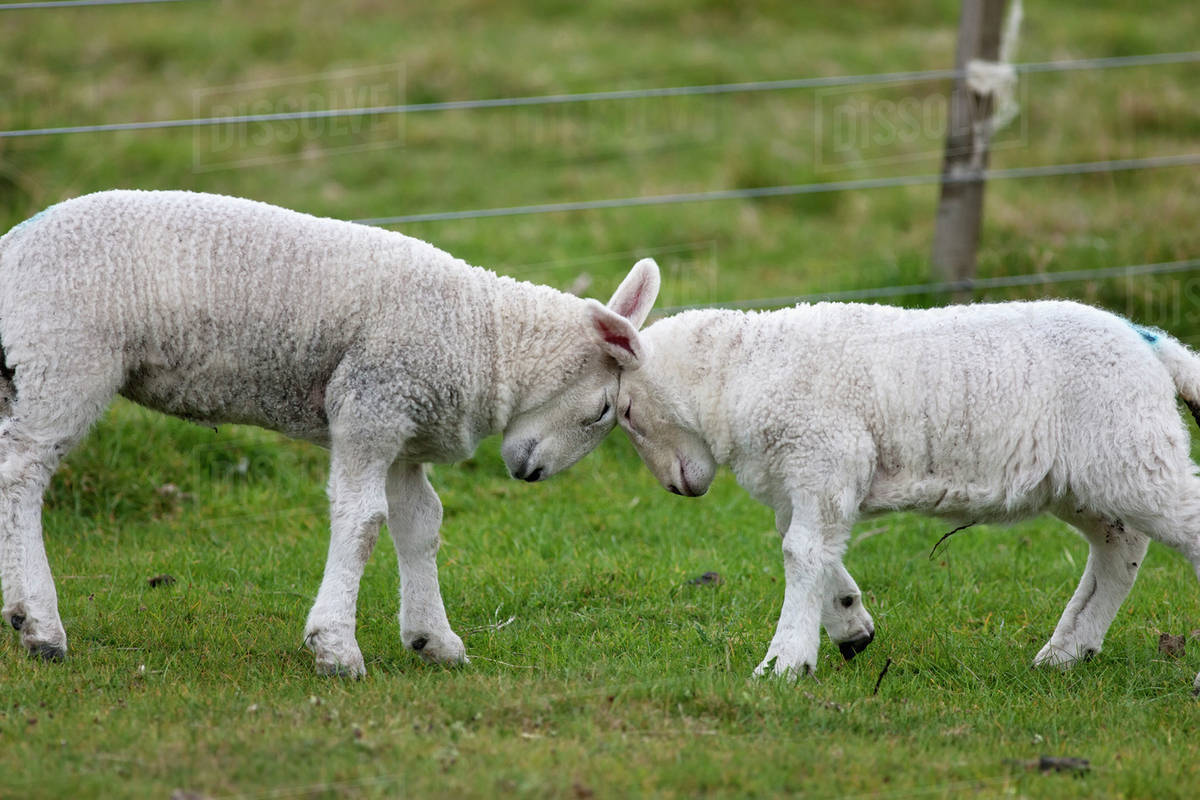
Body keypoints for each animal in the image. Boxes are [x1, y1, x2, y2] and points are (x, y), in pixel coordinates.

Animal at [0, 189, 662, 677]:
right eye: (604, 410)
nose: (531, 473)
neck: (486, 338)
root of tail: (12, 243)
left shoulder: (404, 429)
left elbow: (421, 523)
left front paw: (433, 638)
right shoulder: (371, 404)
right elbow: (363, 520)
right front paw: (336, 647)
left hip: (25, 369)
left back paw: (16, 611)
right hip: (62, 358)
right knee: (20, 475)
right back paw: (43, 627)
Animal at [612, 299, 1200, 692]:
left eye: (628, 412)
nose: (677, 488)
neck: (742, 371)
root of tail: (1149, 341)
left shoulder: (827, 455)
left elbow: (800, 553)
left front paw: (784, 664)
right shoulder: (800, 481)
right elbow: (810, 549)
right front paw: (849, 623)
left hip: (1132, 451)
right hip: (1087, 476)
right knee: (1120, 548)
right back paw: (1065, 651)